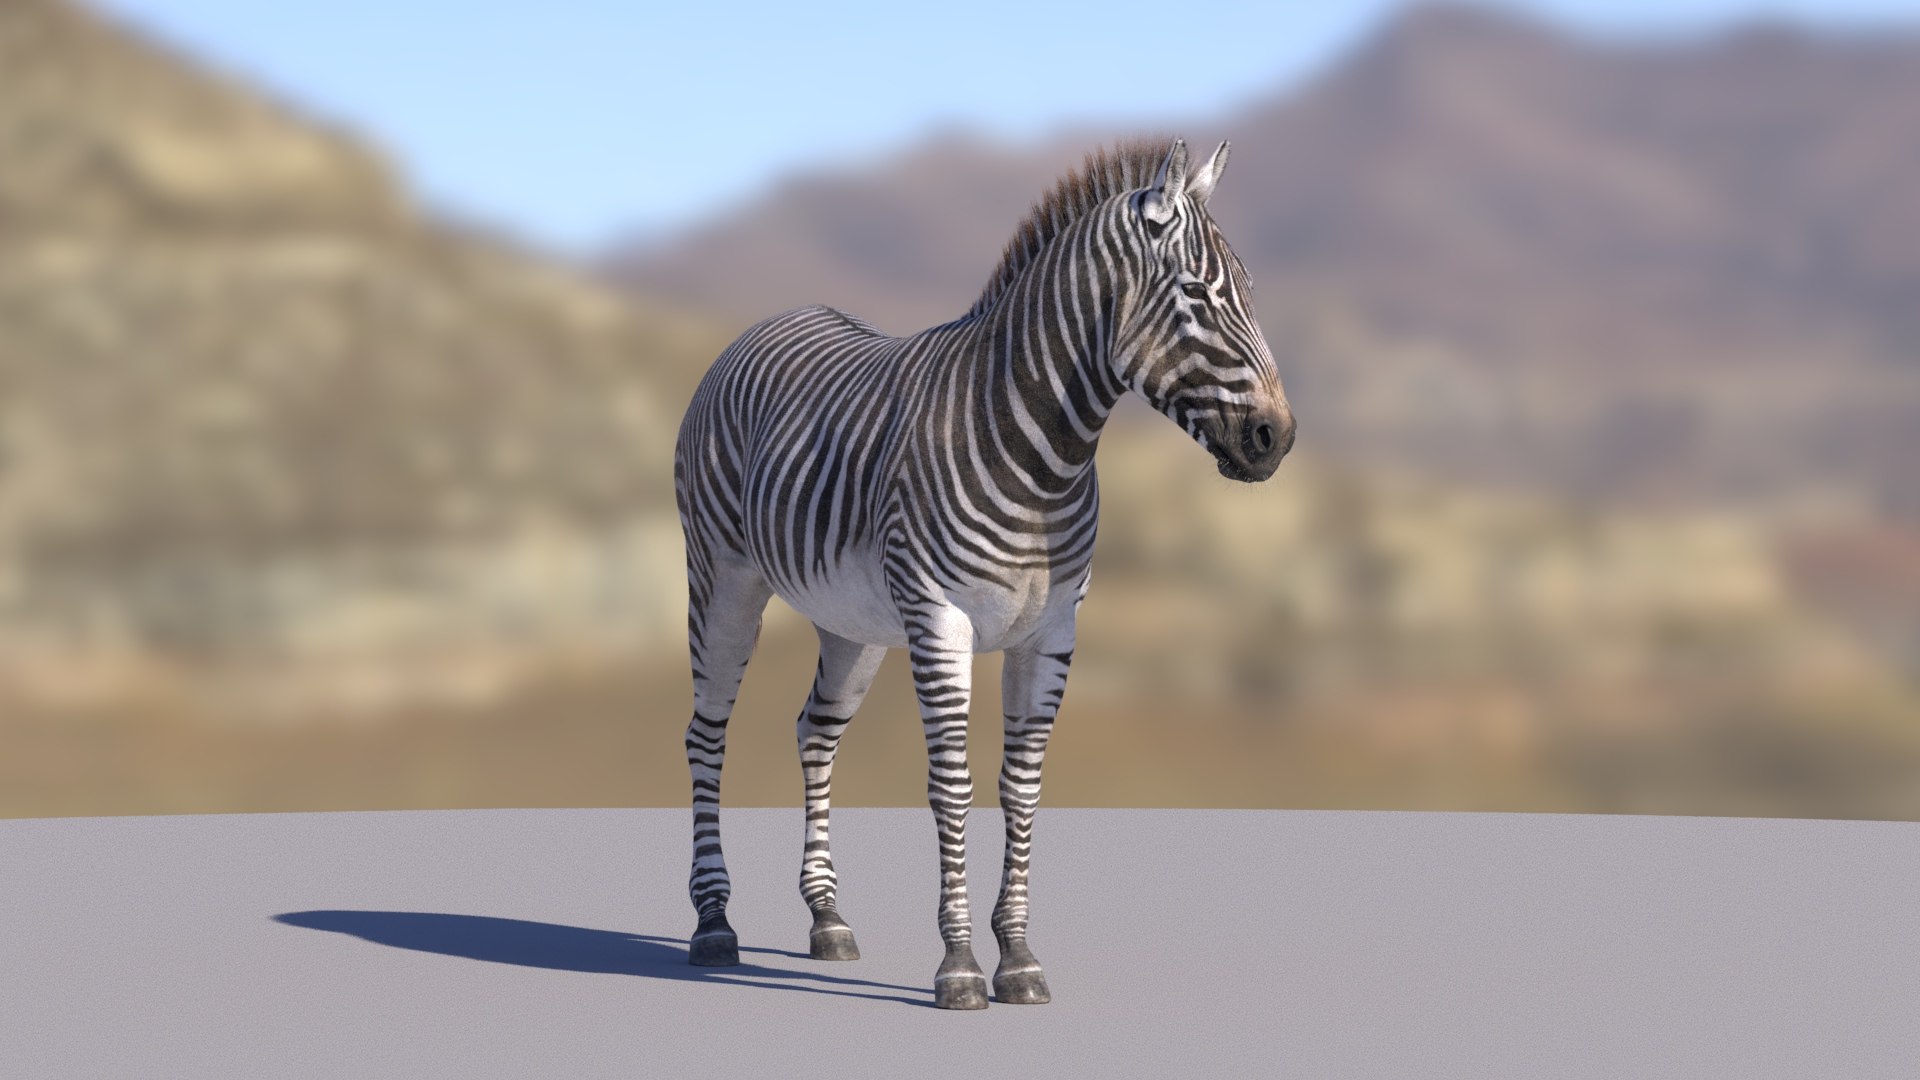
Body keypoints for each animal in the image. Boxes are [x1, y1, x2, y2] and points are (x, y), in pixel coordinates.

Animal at [672, 137, 1294, 1009]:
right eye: (1197, 295)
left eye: (1248, 293)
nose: (1279, 438)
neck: (1045, 457)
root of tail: (770, 318)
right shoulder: (942, 621)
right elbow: (953, 783)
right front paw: (961, 966)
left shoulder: (1053, 632)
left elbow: (1021, 786)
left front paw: (1020, 959)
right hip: (723, 577)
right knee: (707, 732)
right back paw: (714, 924)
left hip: (851, 622)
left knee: (814, 731)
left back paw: (827, 917)